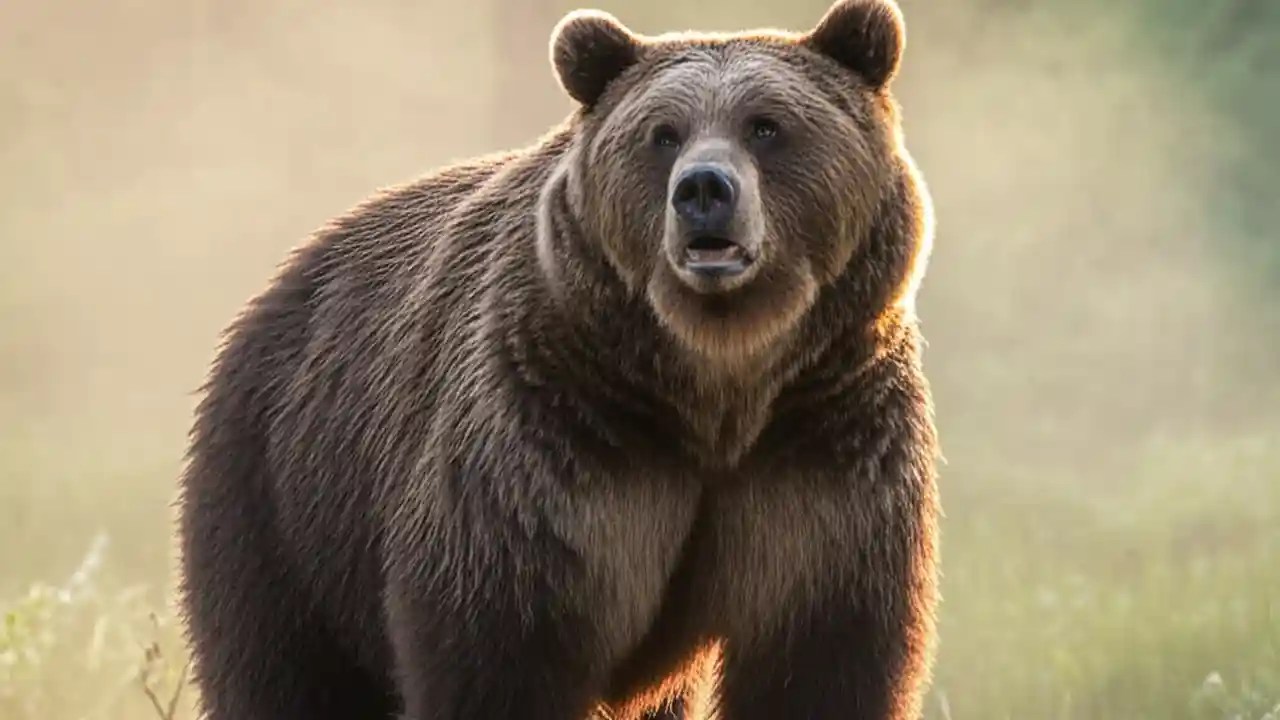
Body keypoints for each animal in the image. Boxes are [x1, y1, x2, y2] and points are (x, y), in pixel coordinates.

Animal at [175, 1, 940, 719]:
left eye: (767, 125)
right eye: (663, 132)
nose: (703, 190)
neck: (715, 385)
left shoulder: (821, 446)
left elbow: (823, 659)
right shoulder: (558, 437)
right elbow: (499, 644)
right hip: (286, 501)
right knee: (283, 672)